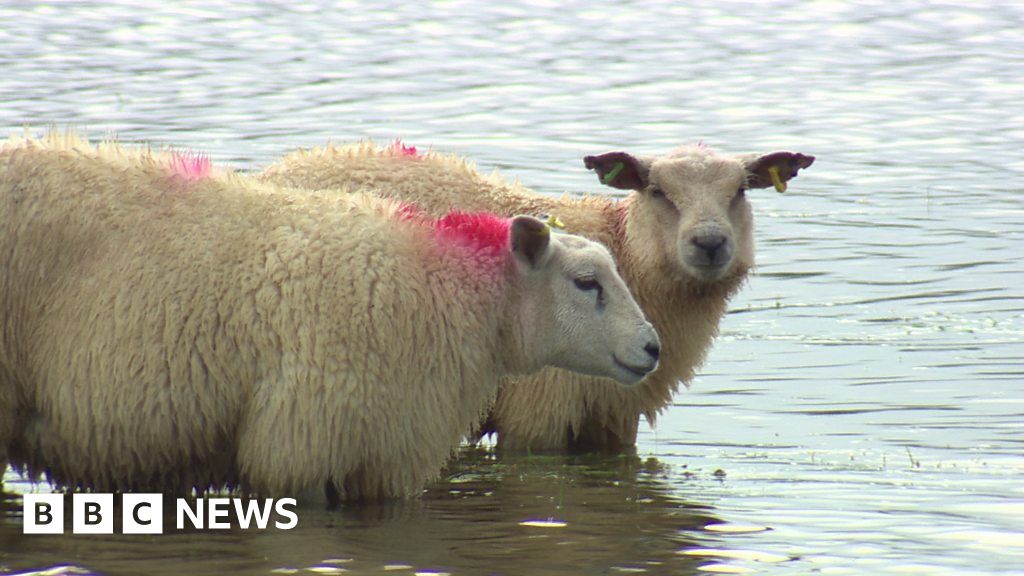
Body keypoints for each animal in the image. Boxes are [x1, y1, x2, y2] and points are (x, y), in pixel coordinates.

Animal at [260, 140, 814, 453]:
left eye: (740, 191)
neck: (624, 250)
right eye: (657, 191)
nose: (710, 243)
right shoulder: (536, 414)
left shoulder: (614, 418)